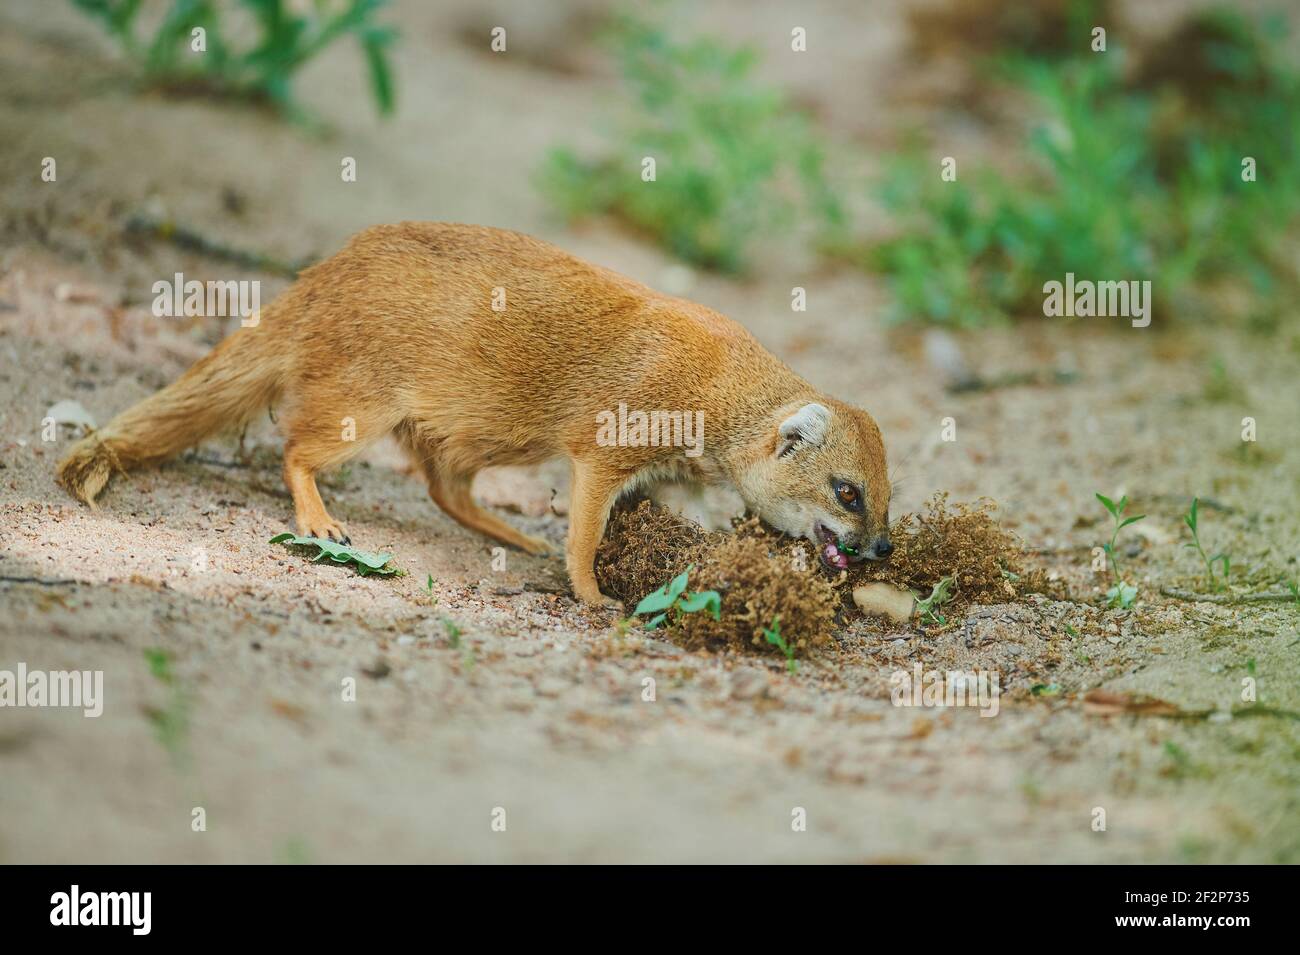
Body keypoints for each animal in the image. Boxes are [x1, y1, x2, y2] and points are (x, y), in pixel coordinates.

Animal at [57, 222, 892, 606]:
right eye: (846, 490)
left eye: (887, 497)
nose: (883, 547)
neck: (718, 384)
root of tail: (320, 275)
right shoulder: (607, 436)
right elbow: (588, 521)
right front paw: (593, 590)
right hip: (368, 395)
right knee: (297, 446)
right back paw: (322, 519)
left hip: (481, 424)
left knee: (443, 486)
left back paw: (513, 534)